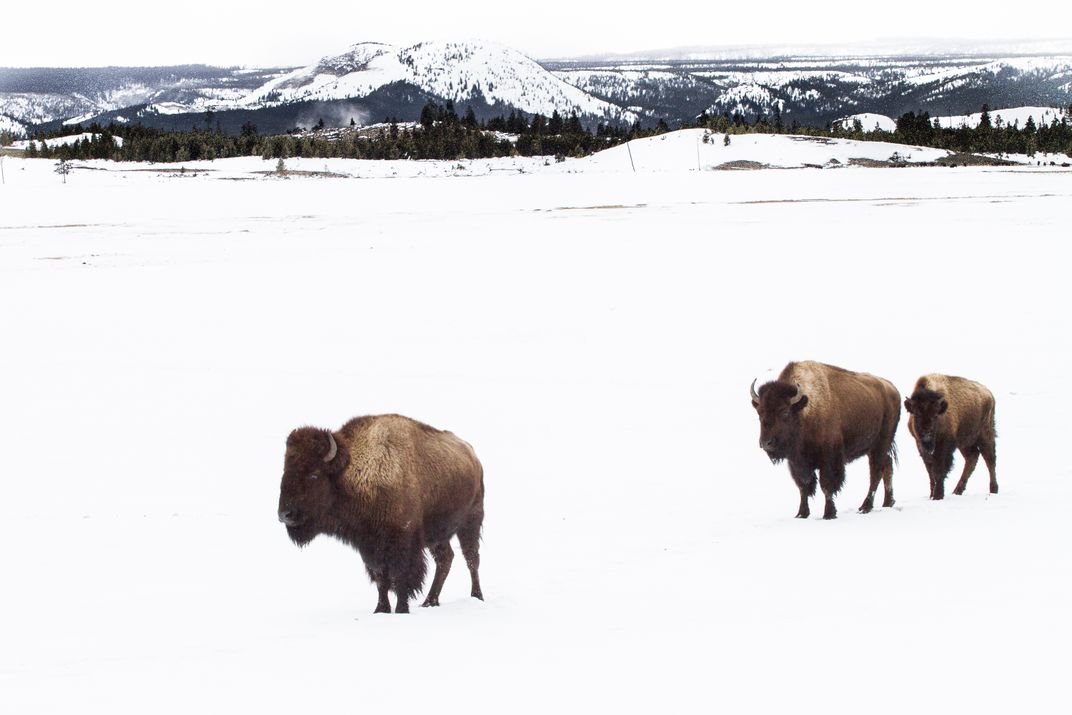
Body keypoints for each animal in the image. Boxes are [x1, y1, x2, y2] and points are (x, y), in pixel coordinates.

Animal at [277, 414, 485, 613]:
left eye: (314, 474)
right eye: (285, 472)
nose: (284, 514)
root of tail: (473, 455)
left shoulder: (403, 542)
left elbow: (401, 578)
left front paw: (401, 610)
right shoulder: (369, 545)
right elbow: (380, 579)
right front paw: (381, 610)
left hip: (471, 522)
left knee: (471, 558)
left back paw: (477, 596)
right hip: (436, 536)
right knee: (446, 559)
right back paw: (429, 602)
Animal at [751, 360, 901, 519]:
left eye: (784, 412)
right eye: (760, 412)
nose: (766, 443)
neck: (805, 411)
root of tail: (893, 389)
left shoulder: (829, 459)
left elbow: (826, 485)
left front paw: (829, 513)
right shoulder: (797, 462)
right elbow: (803, 487)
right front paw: (801, 514)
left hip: (880, 443)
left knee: (876, 472)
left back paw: (865, 507)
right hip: (874, 447)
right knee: (887, 465)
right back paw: (888, 502)